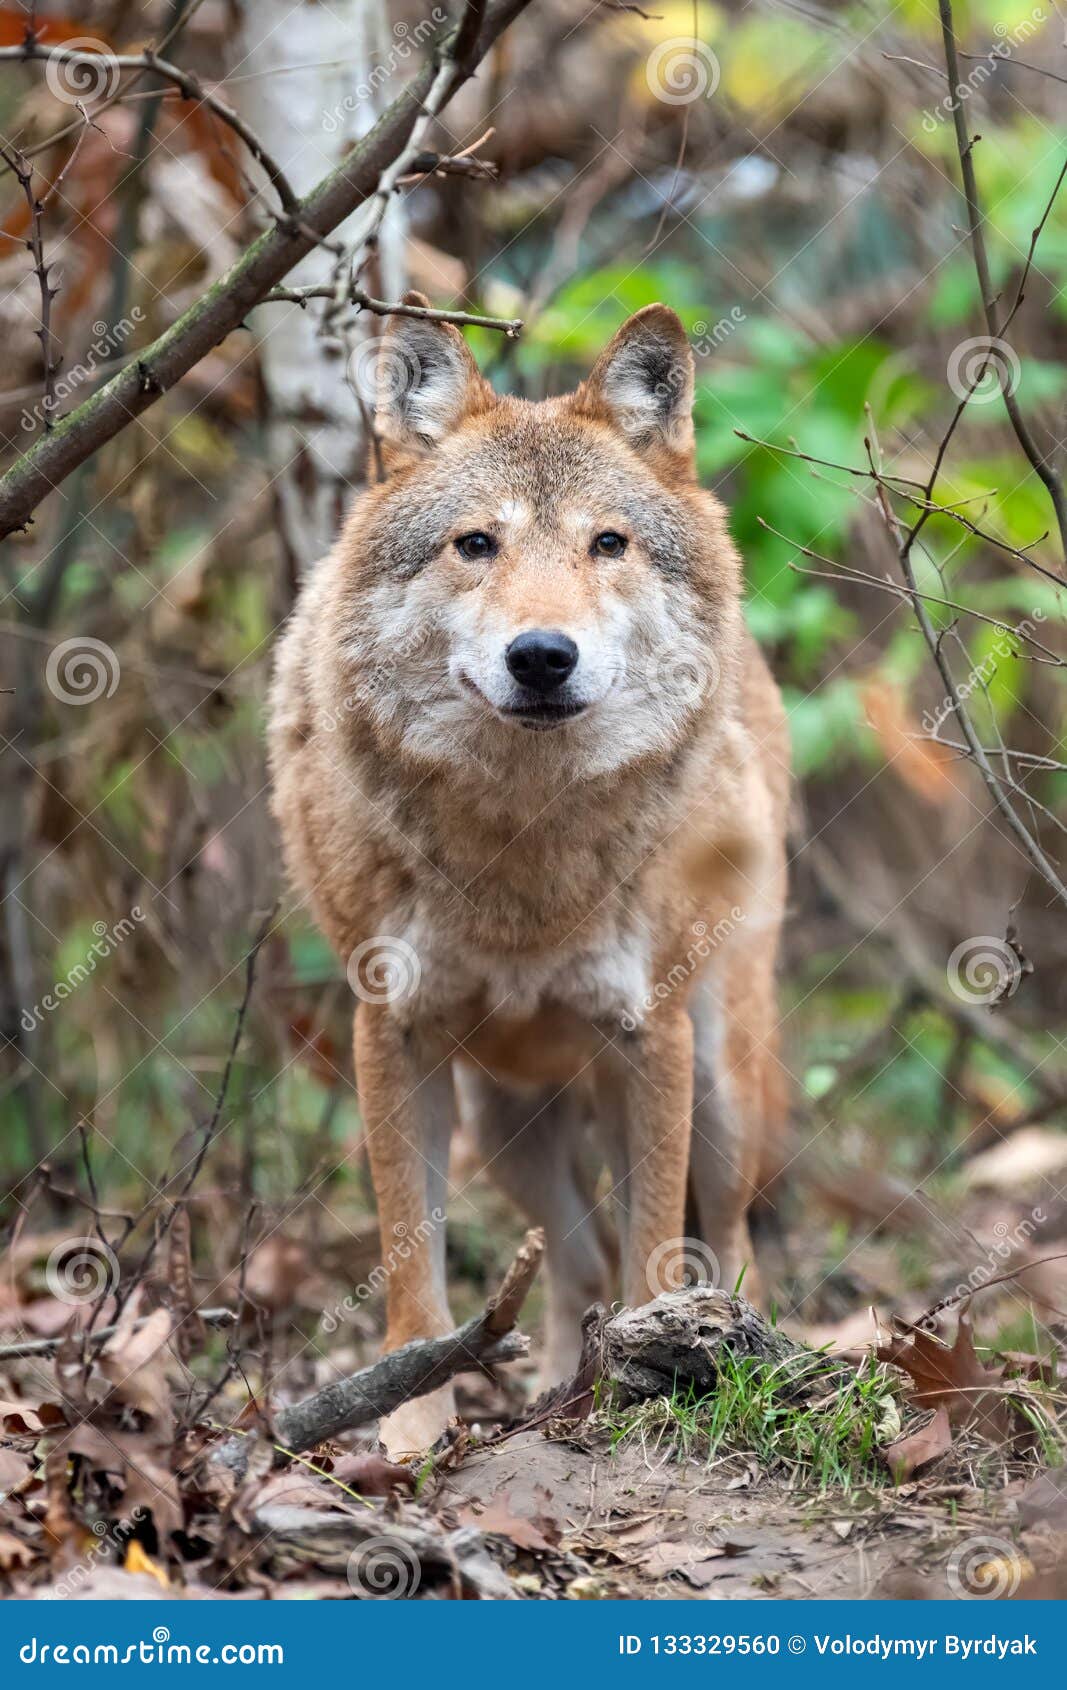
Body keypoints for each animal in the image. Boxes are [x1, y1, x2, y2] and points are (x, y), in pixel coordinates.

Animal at [268, 297, 790, 1455]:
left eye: (607, 543)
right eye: (476, 544)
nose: (542, 655)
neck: (521, 852)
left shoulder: (650, 1037)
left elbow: (656, 1253)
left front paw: (650, 1392)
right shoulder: (390, 1033)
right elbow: (413, 1277)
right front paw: (410, 1435)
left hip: (723, 1090)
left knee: (726, 1247)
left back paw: (738, 1360)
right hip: (505, 1131)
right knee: (576, 1259)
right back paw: (560, 1386)